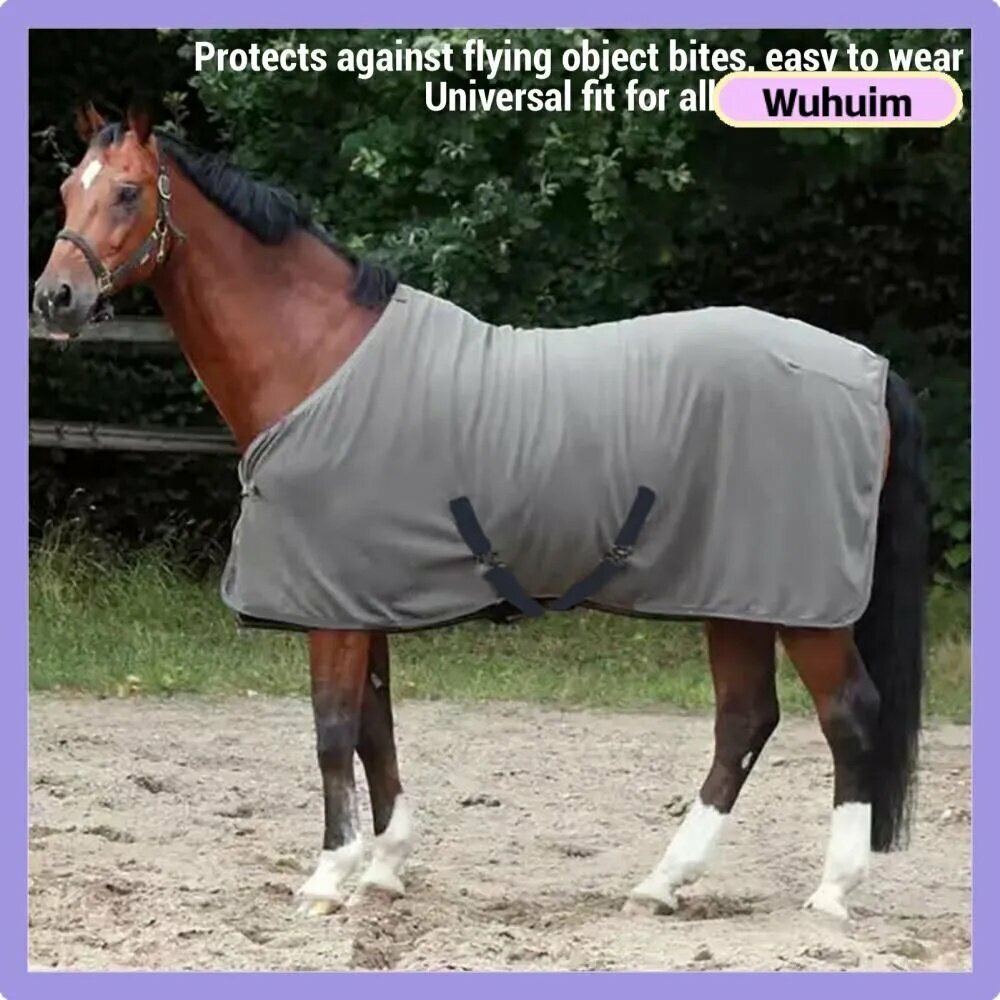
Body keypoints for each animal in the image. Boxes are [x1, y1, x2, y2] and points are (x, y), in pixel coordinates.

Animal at [33, 103, 928, 923]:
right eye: (68, 189)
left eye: (126, 192)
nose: (56, 297)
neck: (318, 357)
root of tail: (869, 369)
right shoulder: (361, 595)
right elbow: (375, 725)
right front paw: (385, 869)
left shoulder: (332, 606)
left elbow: (332, 728)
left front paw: (328, 878)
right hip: (735, 596)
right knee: (745, 720)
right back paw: (661, 884)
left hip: (802, 606)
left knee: (848, 714)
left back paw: (832, 893)